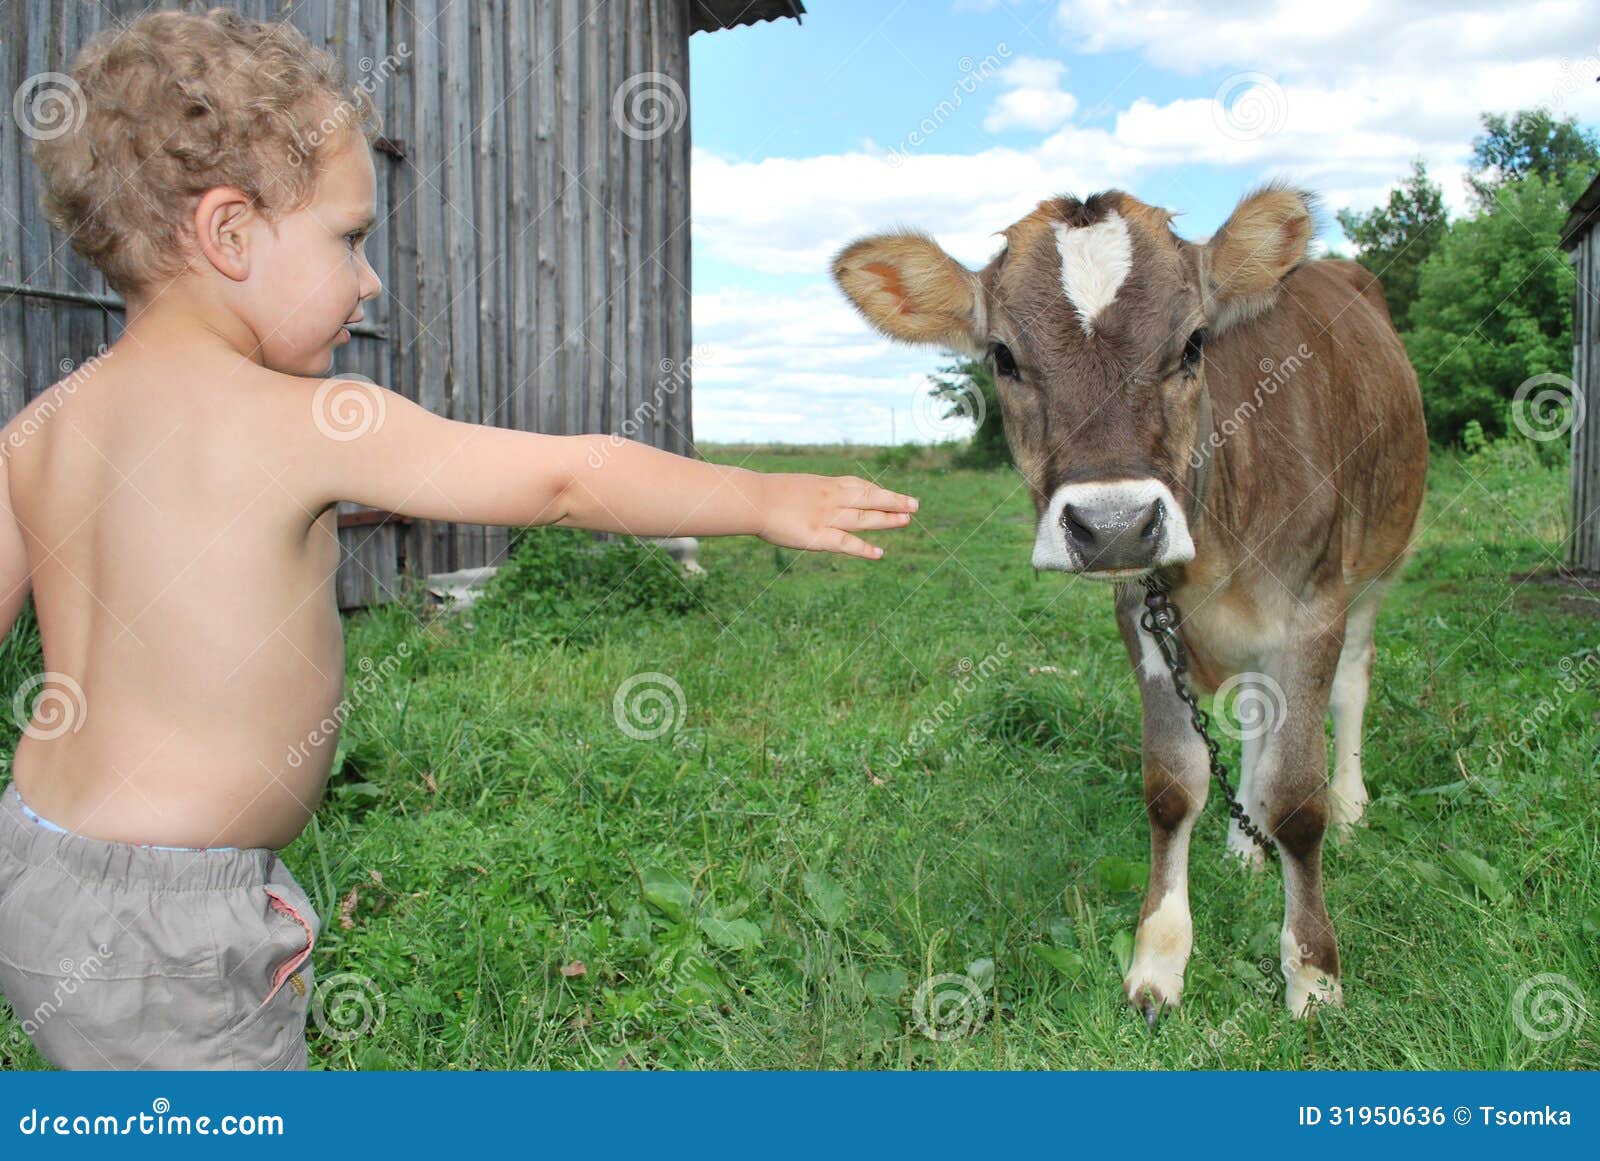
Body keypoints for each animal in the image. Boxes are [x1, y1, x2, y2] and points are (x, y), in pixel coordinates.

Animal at [832, 184, 1427, 1019]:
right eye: (1004, 356)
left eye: (1194, 342)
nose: (1113, 524)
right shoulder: (1143, 617)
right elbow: (1174, 787)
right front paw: (1160, 958)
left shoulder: (1316, 605)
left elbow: (1296, 796)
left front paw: (1313, 973)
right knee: (1256, 712)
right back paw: (1245, 843)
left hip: (1376, 567)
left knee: (1351, 689)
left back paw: (1350, 806)